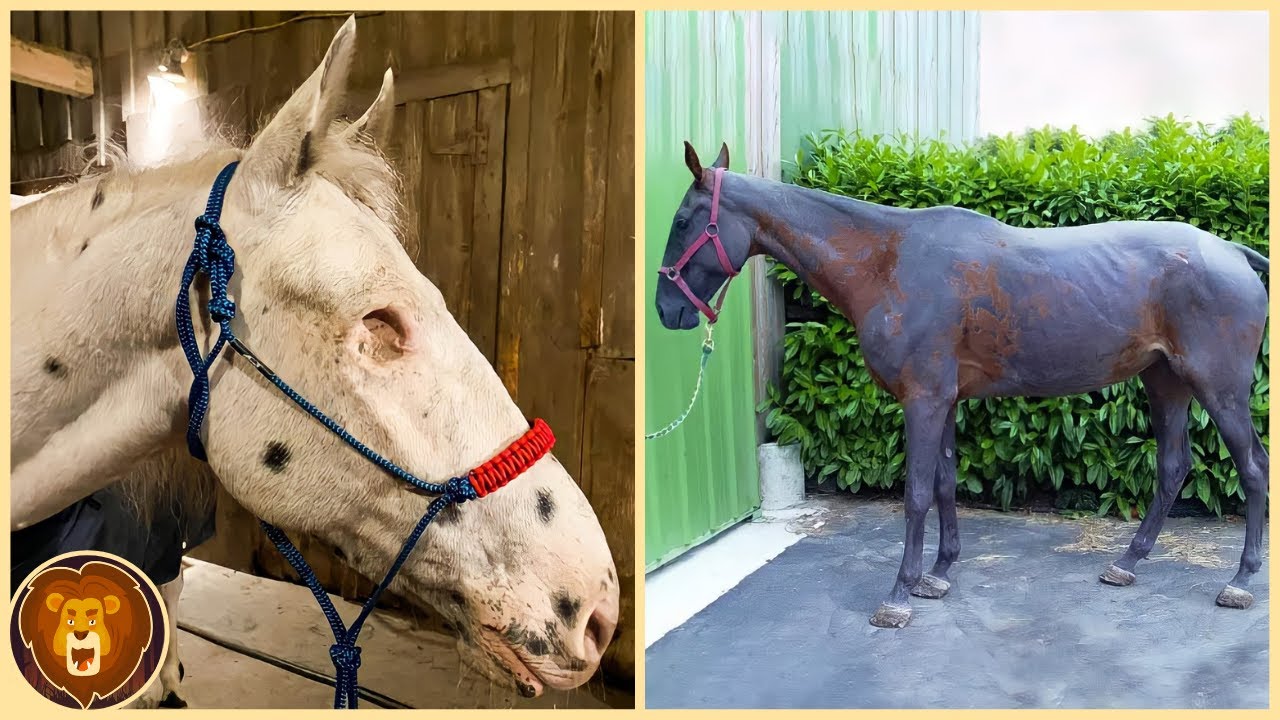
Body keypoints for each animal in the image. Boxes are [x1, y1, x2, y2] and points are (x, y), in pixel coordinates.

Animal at [655, 141, 1268, 629]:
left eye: (683, 221)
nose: (666, 309)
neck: (887, 262)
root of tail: (1233, 253)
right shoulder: (943, 400)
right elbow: (946, 484)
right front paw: (938, 573)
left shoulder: (922, 401)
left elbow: (916, 494)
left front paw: (899, 595)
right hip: (1166, 383)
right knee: (1173, 467)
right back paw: (1127, 563)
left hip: (1219, 389)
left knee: (1253, 469)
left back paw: (1240, 580)